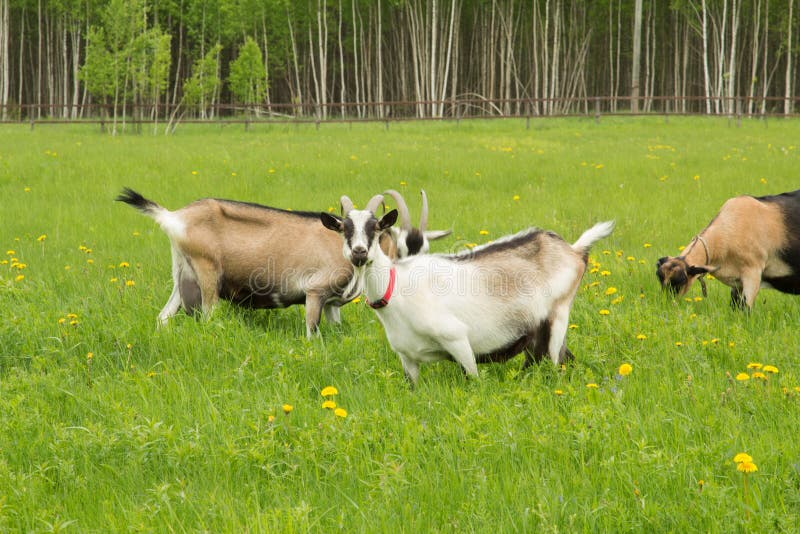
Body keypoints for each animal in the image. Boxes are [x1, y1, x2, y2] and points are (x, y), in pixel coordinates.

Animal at [116, 188, 448, 336]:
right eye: (346, 228)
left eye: (375, 229)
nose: (359, 252)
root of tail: (173, 218)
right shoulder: (314, 293)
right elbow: (312, 332)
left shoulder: (332, 304)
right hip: (207, 274)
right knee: (209, 316)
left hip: (183, 276)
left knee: (163, 317)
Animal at [321, 193, 614, 385]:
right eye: (344, 229)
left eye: (375, 227)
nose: (359, 252)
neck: (397, 288)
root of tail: (573, 250)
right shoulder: (408, 359)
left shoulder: (458, 340)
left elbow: (472, 379)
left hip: (557, 319)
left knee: (556, 365)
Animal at [656, 190, 800, 309]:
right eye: (659, 278)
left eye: (681, 280)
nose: (666, 303)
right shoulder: (737, 282)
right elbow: (735, 306)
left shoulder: (753, 272)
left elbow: (745, 309)